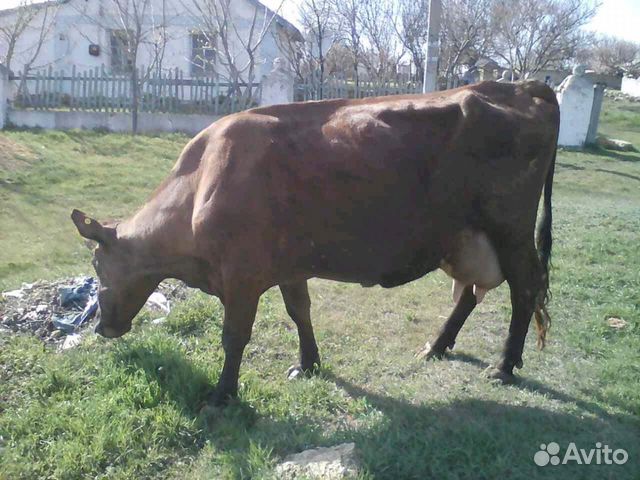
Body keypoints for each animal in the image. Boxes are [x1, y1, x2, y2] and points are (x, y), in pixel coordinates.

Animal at [71, 80, 559, 405]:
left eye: (96, 266)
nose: (101, 328)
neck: (200, 183)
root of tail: (519, 85)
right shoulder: (289, 266)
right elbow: (299, 312)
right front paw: (308, 364)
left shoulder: (241, 275)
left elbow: (234, 336)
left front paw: (222, 396)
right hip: (465, 238)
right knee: (472, 290)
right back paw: (437, 346)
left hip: (510, 230)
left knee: (523, 288)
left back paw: (503, 366)